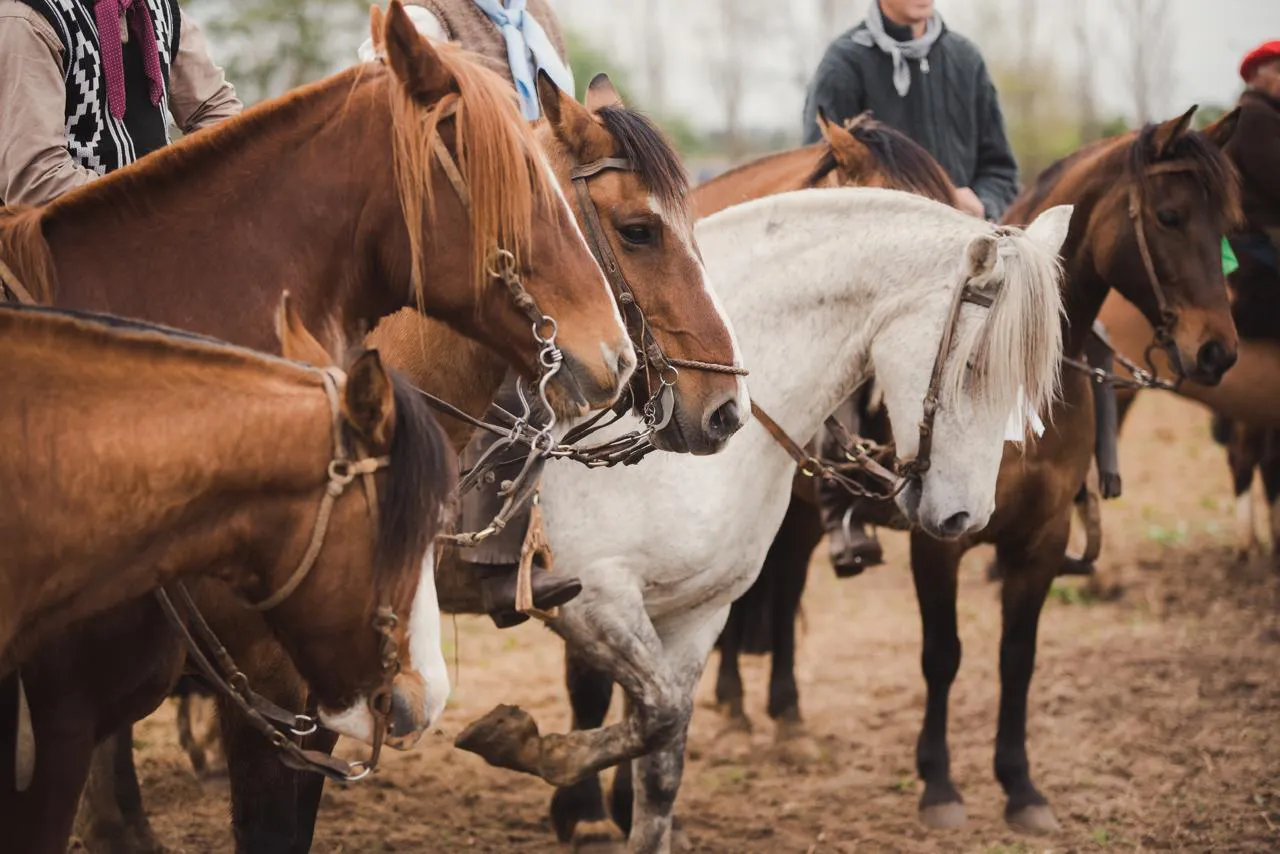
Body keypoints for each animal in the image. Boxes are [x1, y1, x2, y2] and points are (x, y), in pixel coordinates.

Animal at [451, 187, 1072, 853]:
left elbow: (661, 751)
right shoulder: (595, 599)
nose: (965, 517)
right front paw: (522, 746)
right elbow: (648, 711)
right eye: (974, 367)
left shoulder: (694, 614)